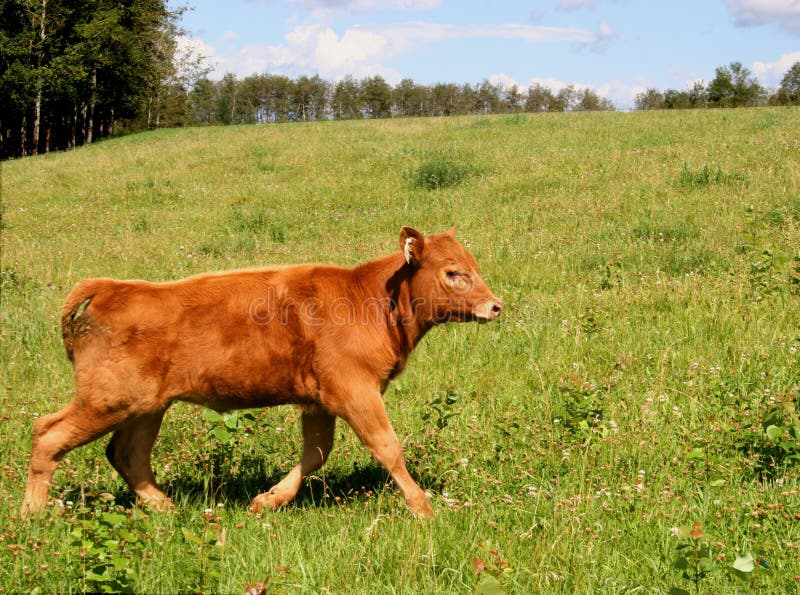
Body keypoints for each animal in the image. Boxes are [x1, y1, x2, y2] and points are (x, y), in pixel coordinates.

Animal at [22, 227, 503, 518]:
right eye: (453, 273)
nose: (496, 305)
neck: (371, 299)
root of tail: (112, 286)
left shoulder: (318, 400)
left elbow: (317, 453)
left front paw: (268, 500)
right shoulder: (355, 389)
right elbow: (387, 448)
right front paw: (423, 508)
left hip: (146, 406)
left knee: (127, 454)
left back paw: (167, 509)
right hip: (107, 398)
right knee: (48, 434)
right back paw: (32, 515)